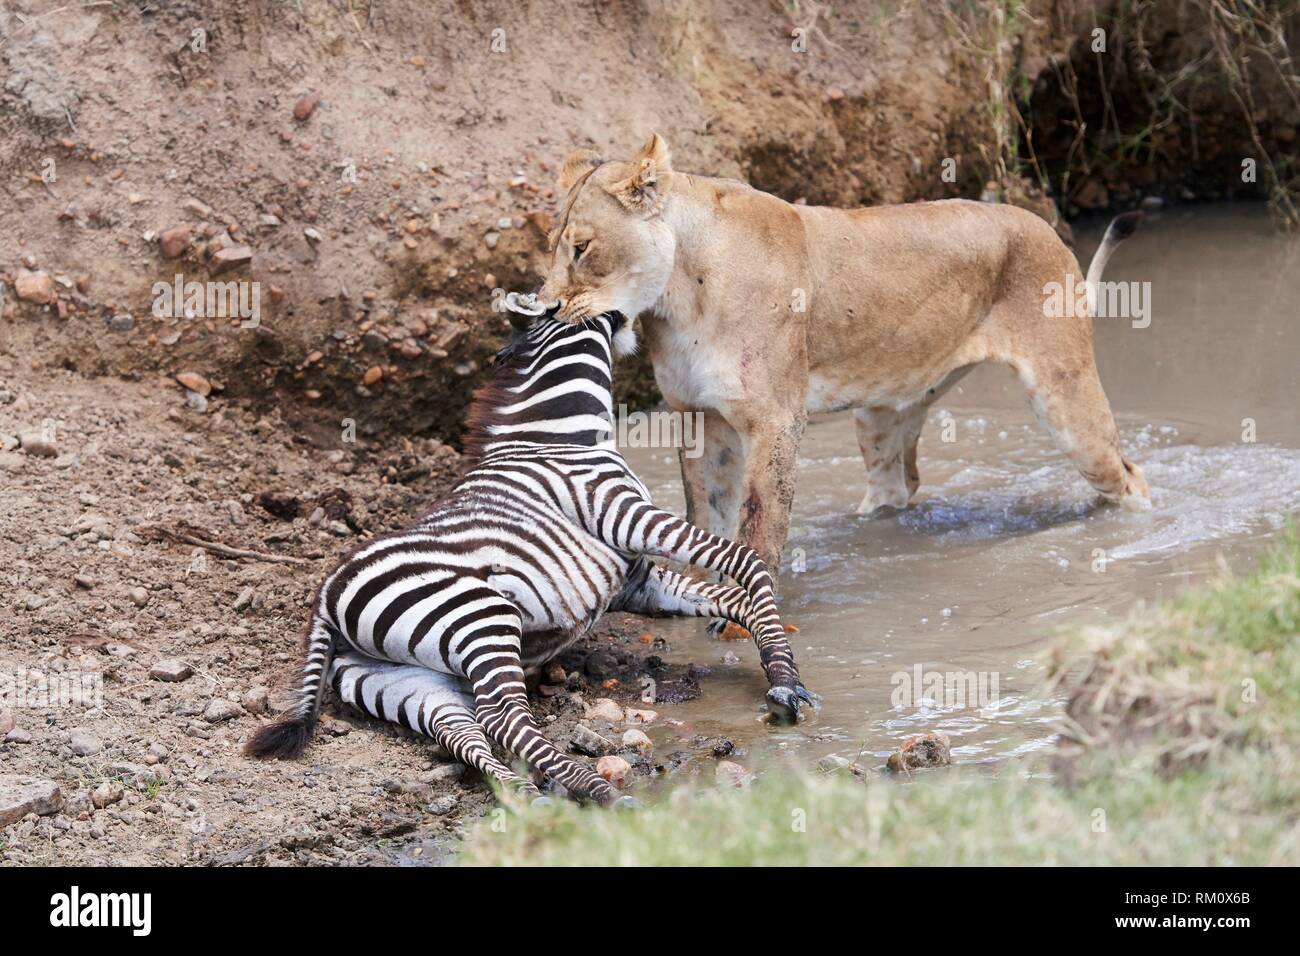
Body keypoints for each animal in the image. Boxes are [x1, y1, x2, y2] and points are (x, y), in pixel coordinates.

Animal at [246, 294, 816, 805]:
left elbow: (733, 598)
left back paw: (527, 797)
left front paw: (779, 671)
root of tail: (324, 597)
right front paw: (786, 681)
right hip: (478, 615)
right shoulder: (619, 512)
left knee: (465, 732)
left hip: (397, 678)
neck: (557, 437)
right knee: (501, 716)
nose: (630, 312)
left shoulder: (634, 581)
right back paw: (594, 790)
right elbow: (742, 560)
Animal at [538, 133, 1150, 570]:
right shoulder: (700, 417)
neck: (679, 298)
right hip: (882, 417)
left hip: (1065, 399)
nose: (544, 307)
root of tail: (1046, 227)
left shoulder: (775, 420)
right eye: (550, 247)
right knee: (898, 486)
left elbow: (759, 525)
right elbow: (706, 517)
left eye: (582, 248)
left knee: (1127, 474)